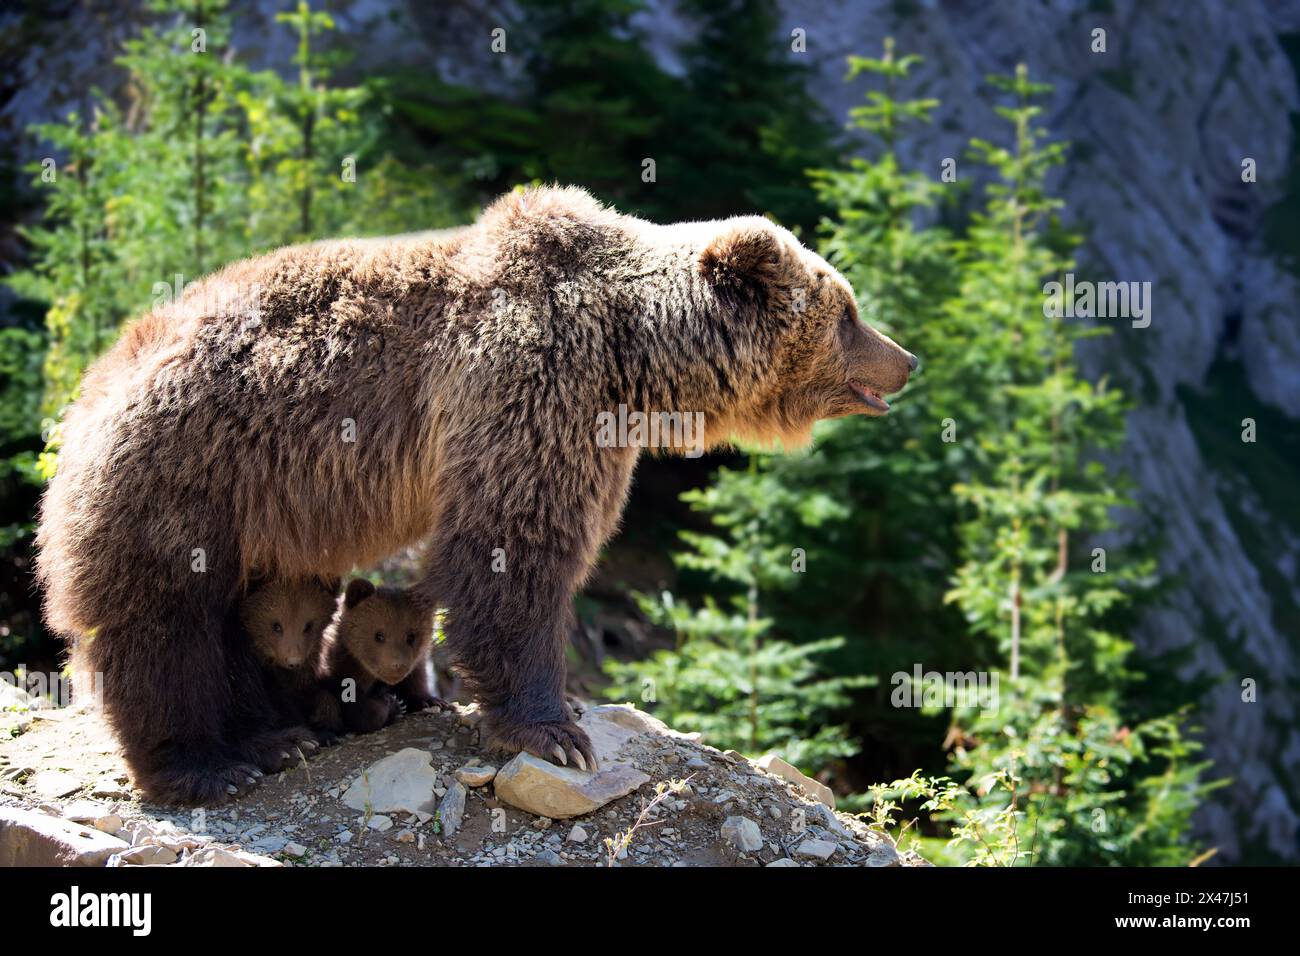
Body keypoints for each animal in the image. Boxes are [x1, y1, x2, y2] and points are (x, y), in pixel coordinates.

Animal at [313, 578, 440, 736]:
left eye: (411, 636)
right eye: (378, 635)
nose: (396, 666)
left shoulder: (416, 663)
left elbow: (415, 679)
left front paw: (430, 701)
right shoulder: (336, 667)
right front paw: (393, 705)